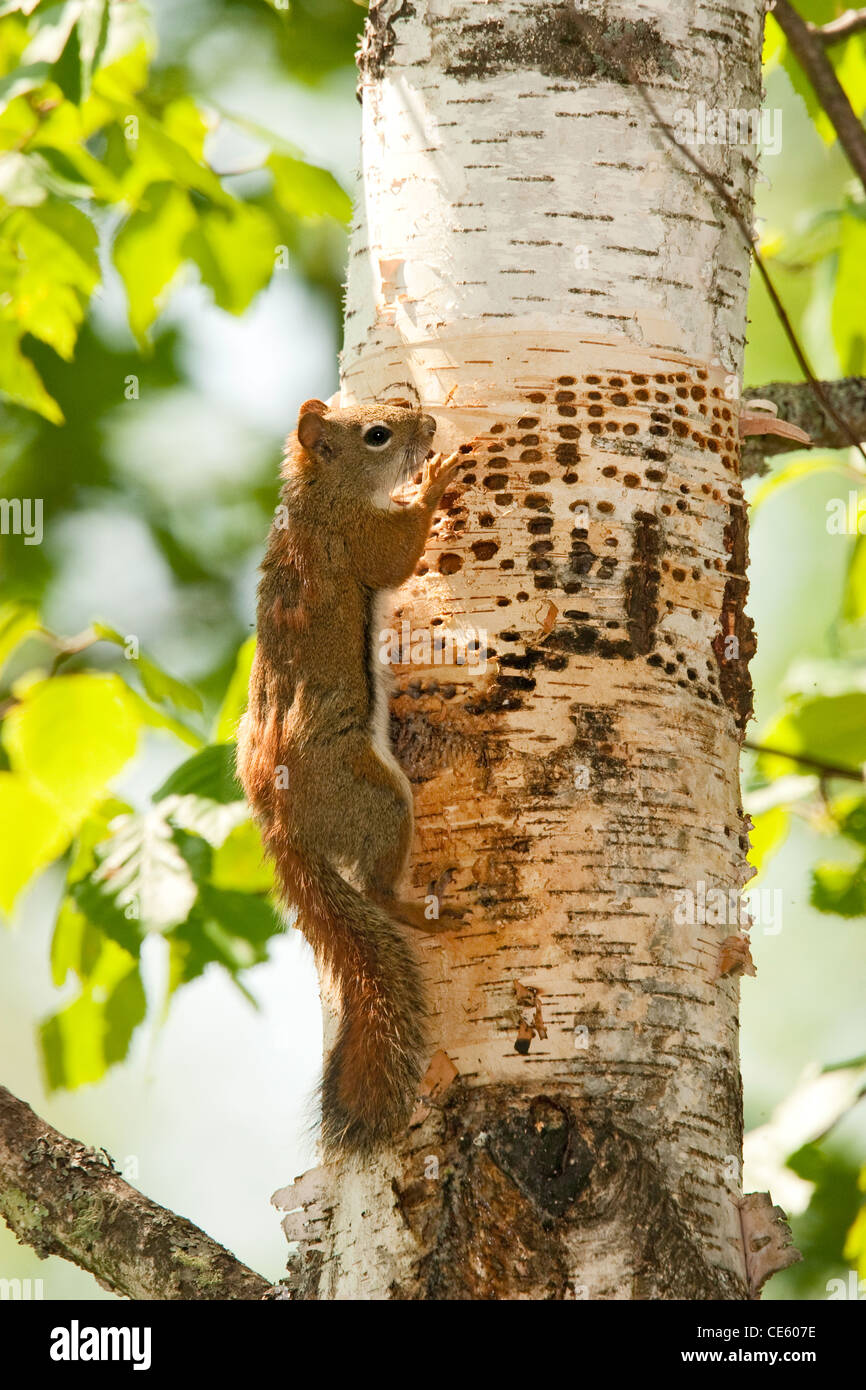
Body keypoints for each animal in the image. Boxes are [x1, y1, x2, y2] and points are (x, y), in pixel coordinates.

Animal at [236, 397, 469, 1159]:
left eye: (395, 409)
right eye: (379, 436)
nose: (429, 426)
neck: (317, 500)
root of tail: (286, 831)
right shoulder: (357, 540)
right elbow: (396, 555)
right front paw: (435, 482)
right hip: (378, 800)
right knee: (375, 887)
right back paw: (415, 909)